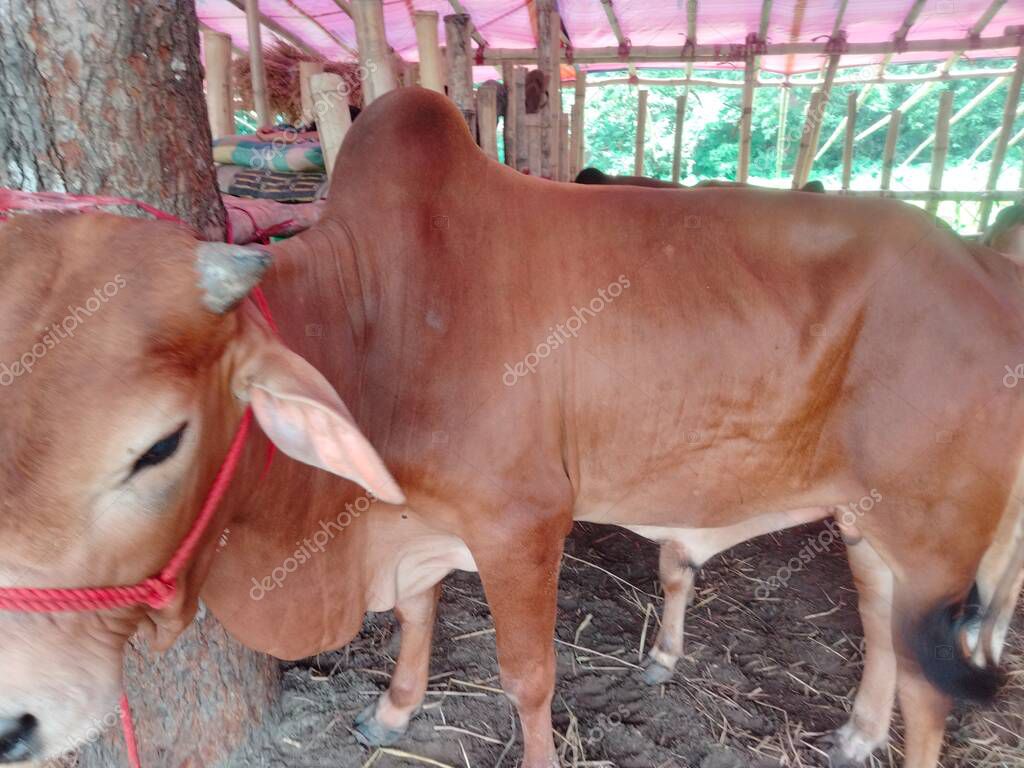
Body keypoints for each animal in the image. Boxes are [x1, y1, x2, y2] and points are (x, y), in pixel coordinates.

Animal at [1, 87, 1023, 768]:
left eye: (160, 444)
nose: (17, 719)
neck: (376, 321)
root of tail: (980, 265)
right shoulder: (416, 520)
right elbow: (416, 614)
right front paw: (394, 710)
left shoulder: (521, 522)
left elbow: (528, 676)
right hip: (871, 523)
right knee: (878, 623)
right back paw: (854, 731)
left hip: (939, 538)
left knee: (932, 685)